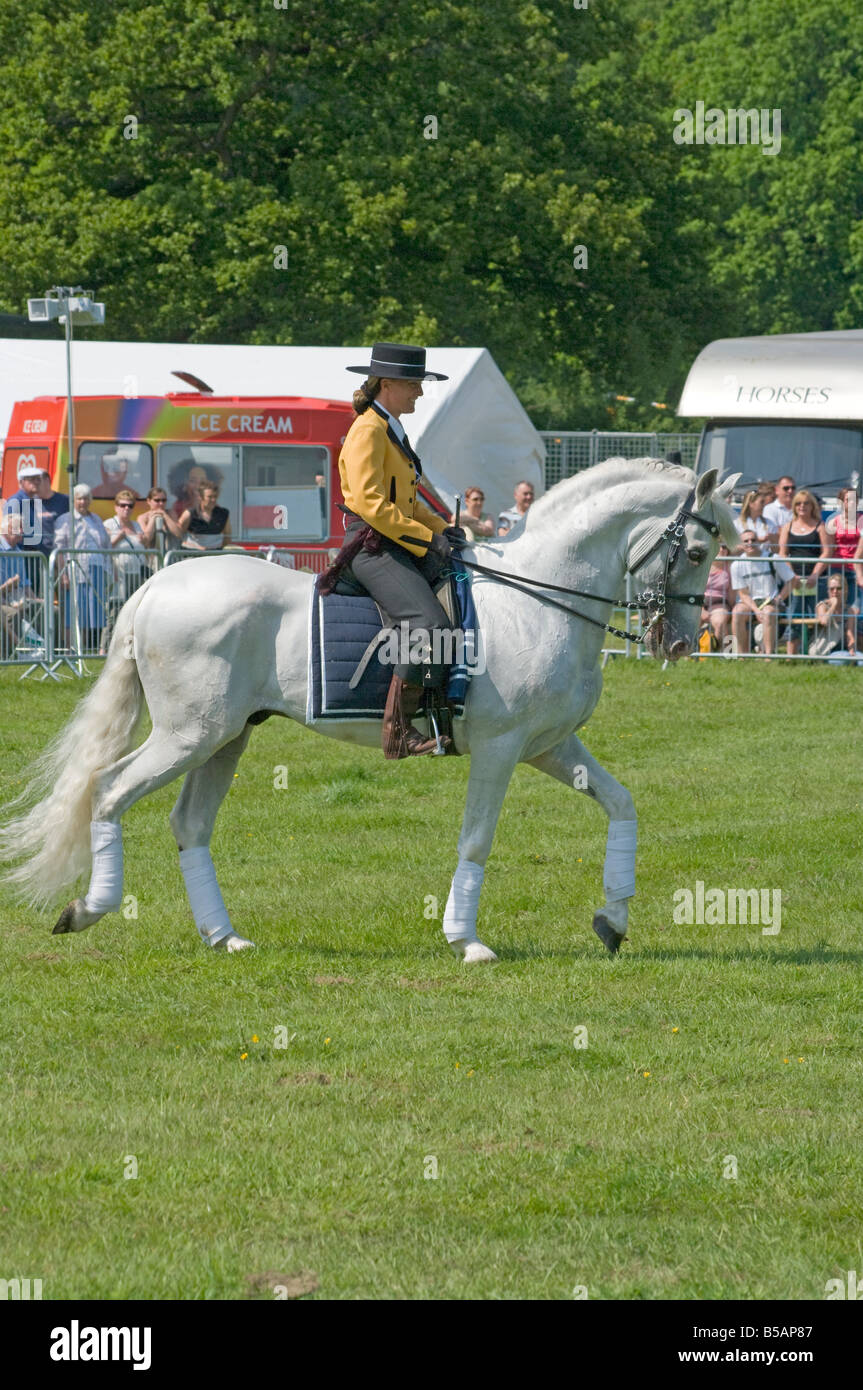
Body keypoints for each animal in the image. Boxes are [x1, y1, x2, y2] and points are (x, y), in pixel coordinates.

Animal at [0, 458, 738, 962]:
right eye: (698, 551)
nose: (678, 643)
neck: (540, 599)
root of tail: (156, 587)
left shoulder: (550, 746)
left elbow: (621, 804)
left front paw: (613, 919)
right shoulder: (502, 750)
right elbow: (476, 839)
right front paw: (466, 941)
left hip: (225, 738)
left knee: (189, 824)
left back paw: (224, 936)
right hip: (189, 736)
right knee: (109, 790)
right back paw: (89, 908)